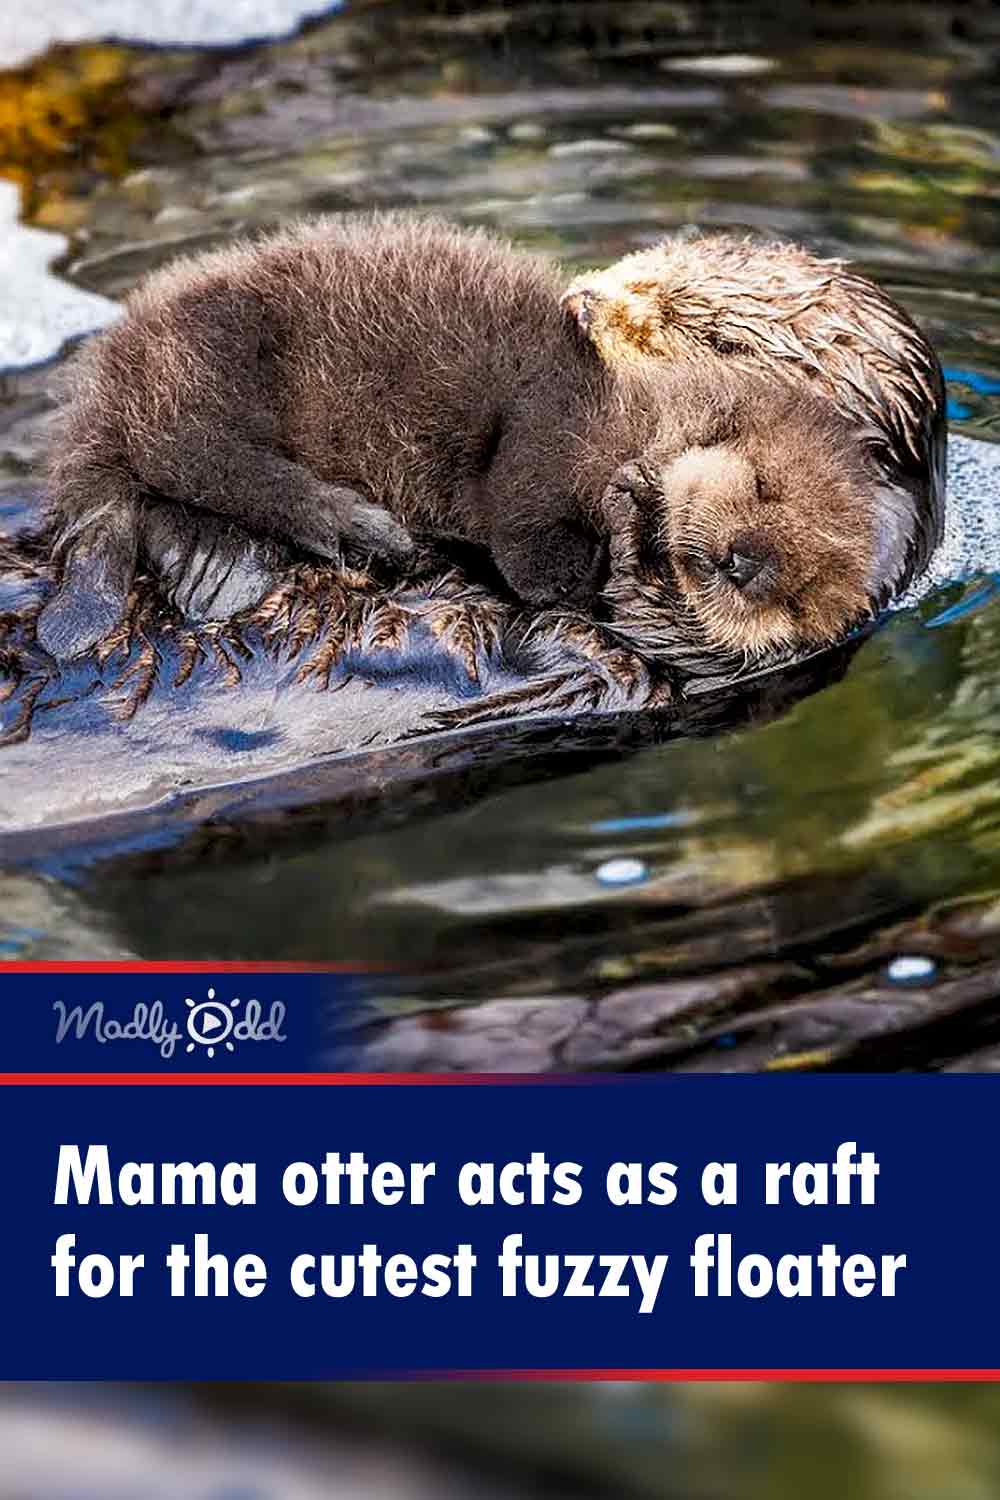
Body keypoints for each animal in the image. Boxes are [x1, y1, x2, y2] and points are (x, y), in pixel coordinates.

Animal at [37, 217, 939, 680]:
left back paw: (219, 562)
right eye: (650, 264)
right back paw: (346, 529)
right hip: (217, 354)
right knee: (198, 450)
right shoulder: (553, 422)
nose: (586, 299)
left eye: (713, 334)